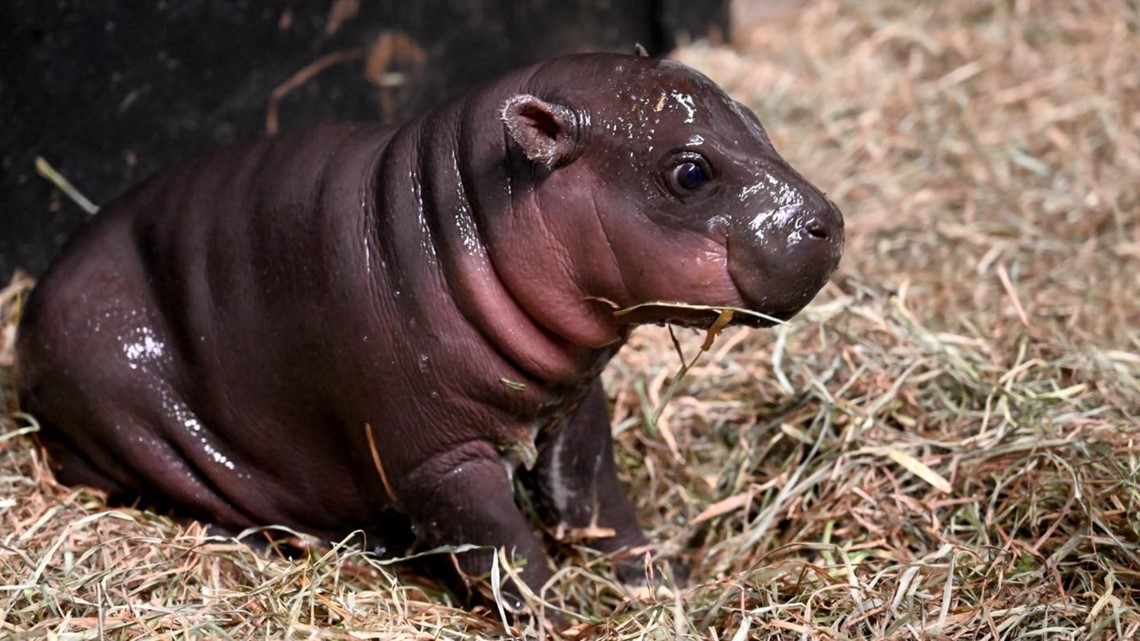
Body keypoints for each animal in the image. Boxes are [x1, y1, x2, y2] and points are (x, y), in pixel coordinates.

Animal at [15, 52, 843, 609]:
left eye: (755, 119)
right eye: (690, 171)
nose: (827, 220)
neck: (464, 221)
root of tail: (31, 303)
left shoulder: (574, 406)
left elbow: (601, 502)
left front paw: (660, 576)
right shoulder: (436, 458)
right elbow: (503, 546)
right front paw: (560, 614)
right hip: (124, 405)